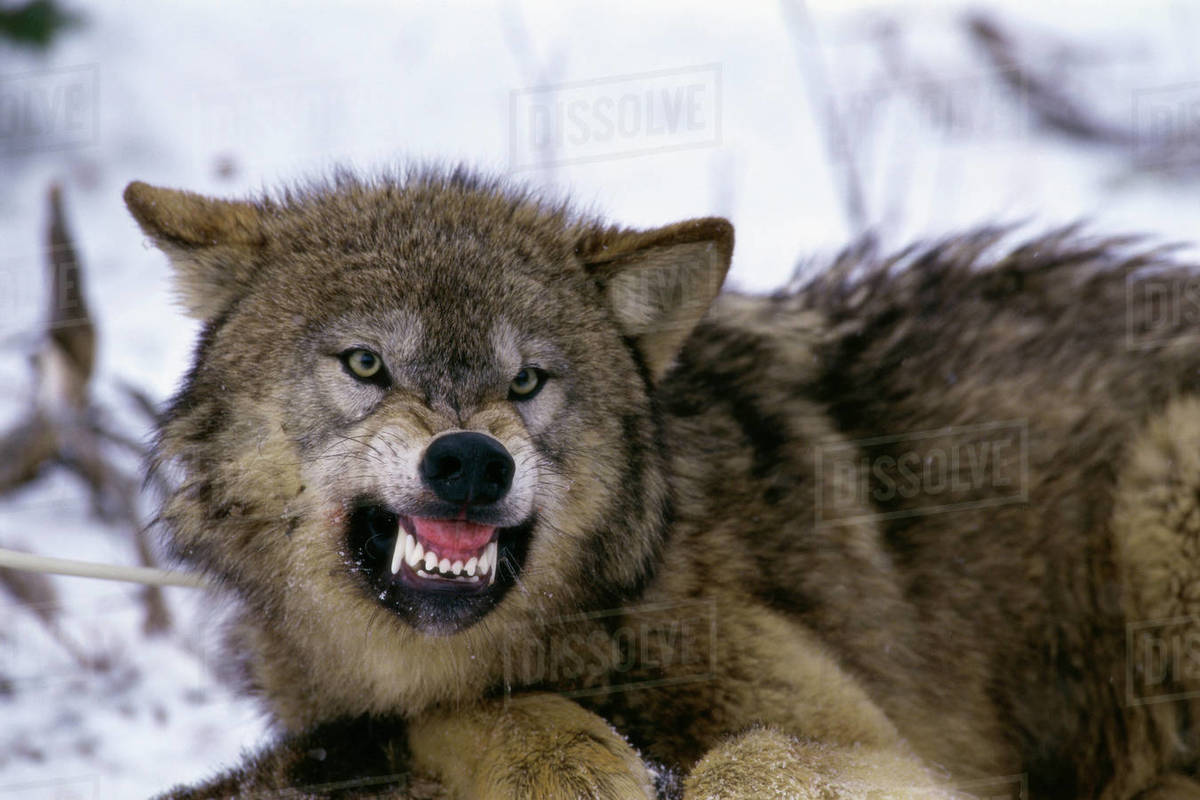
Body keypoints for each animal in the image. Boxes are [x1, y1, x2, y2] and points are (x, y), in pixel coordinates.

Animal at [125, 167, 1200, 799]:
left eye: (528, 380)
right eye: (366, 365)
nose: (471, 460)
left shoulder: (895, 755)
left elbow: (746, 761)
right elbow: (455, 717)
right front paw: (569, 760)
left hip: (1165, 472)